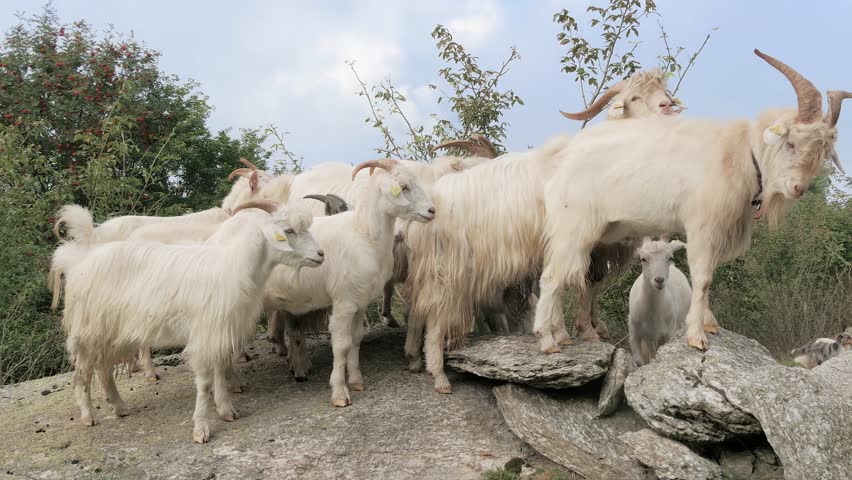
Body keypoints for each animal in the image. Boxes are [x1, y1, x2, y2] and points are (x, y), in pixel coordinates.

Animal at [628, 237, 691, 366]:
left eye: (670, 257)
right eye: (643, 259)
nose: (659, 280)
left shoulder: (668, 333)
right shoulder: (634, 332)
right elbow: (639, 361)